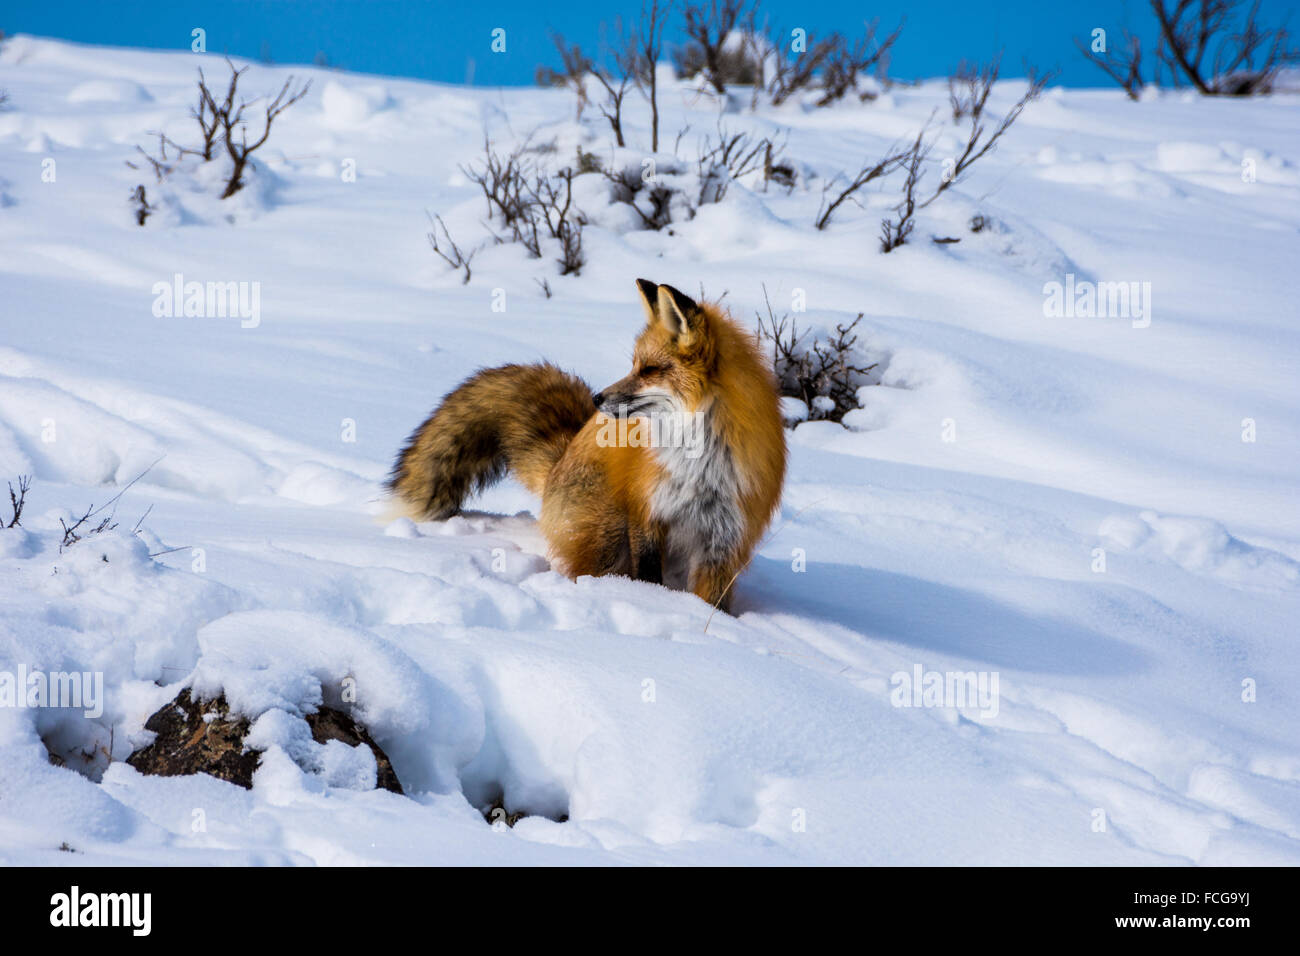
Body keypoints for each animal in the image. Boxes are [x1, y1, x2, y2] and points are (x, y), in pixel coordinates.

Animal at [387, 279, 787, 612]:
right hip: (607, 528)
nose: (597, 399)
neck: (699, 461)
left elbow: (712, 603)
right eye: (634, 365)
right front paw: (650, 602)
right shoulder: (645, 512)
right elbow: (648, 575)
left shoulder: (724, 539)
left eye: (649, 369)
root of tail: (562, 458)